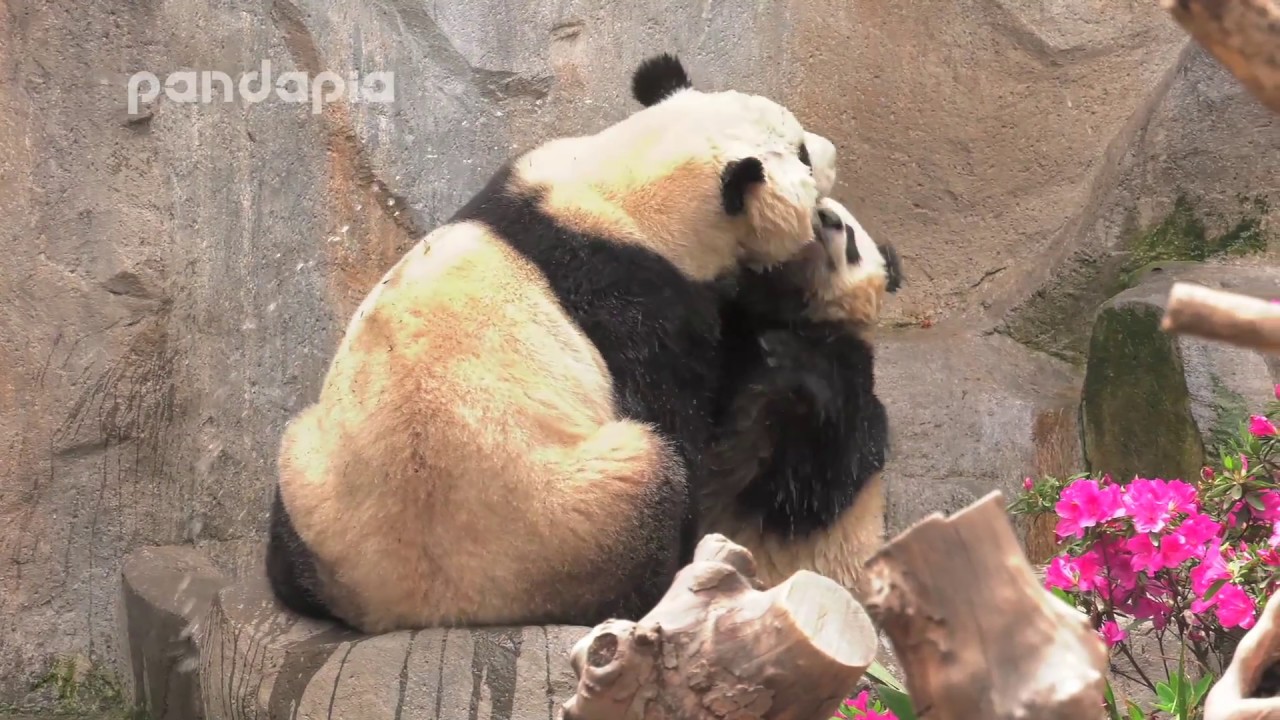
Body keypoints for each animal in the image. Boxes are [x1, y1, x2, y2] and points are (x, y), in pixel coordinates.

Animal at [264, 53, 840, 634]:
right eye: (802, 156)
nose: (833, 151)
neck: (627, 192)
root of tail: (418, 608)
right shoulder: (640, 299)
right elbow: (685, 411)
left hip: (312, 485)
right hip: (573, 517)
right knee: (650, 478)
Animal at [699, 194, 903, 600]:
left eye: (852, 239)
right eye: (818, 201)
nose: (826, 219)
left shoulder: (849, 370)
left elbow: (819, 481)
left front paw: (787, 361)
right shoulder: (733, 332)